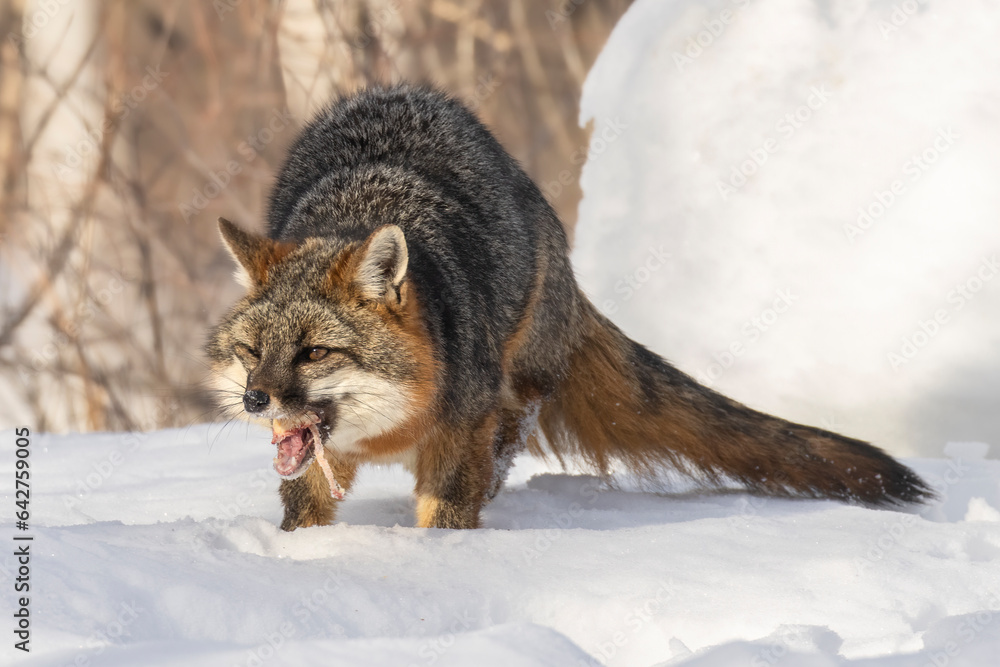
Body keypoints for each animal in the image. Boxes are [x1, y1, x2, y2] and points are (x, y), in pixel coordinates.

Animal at [207, 85, 934, 531]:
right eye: (251, 353)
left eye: (314, 351)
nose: (255, 399)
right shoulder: (307, 462)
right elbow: (303, 518)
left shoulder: (458, 437)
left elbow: (444, 516)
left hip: (514, 392)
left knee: (504, 449)